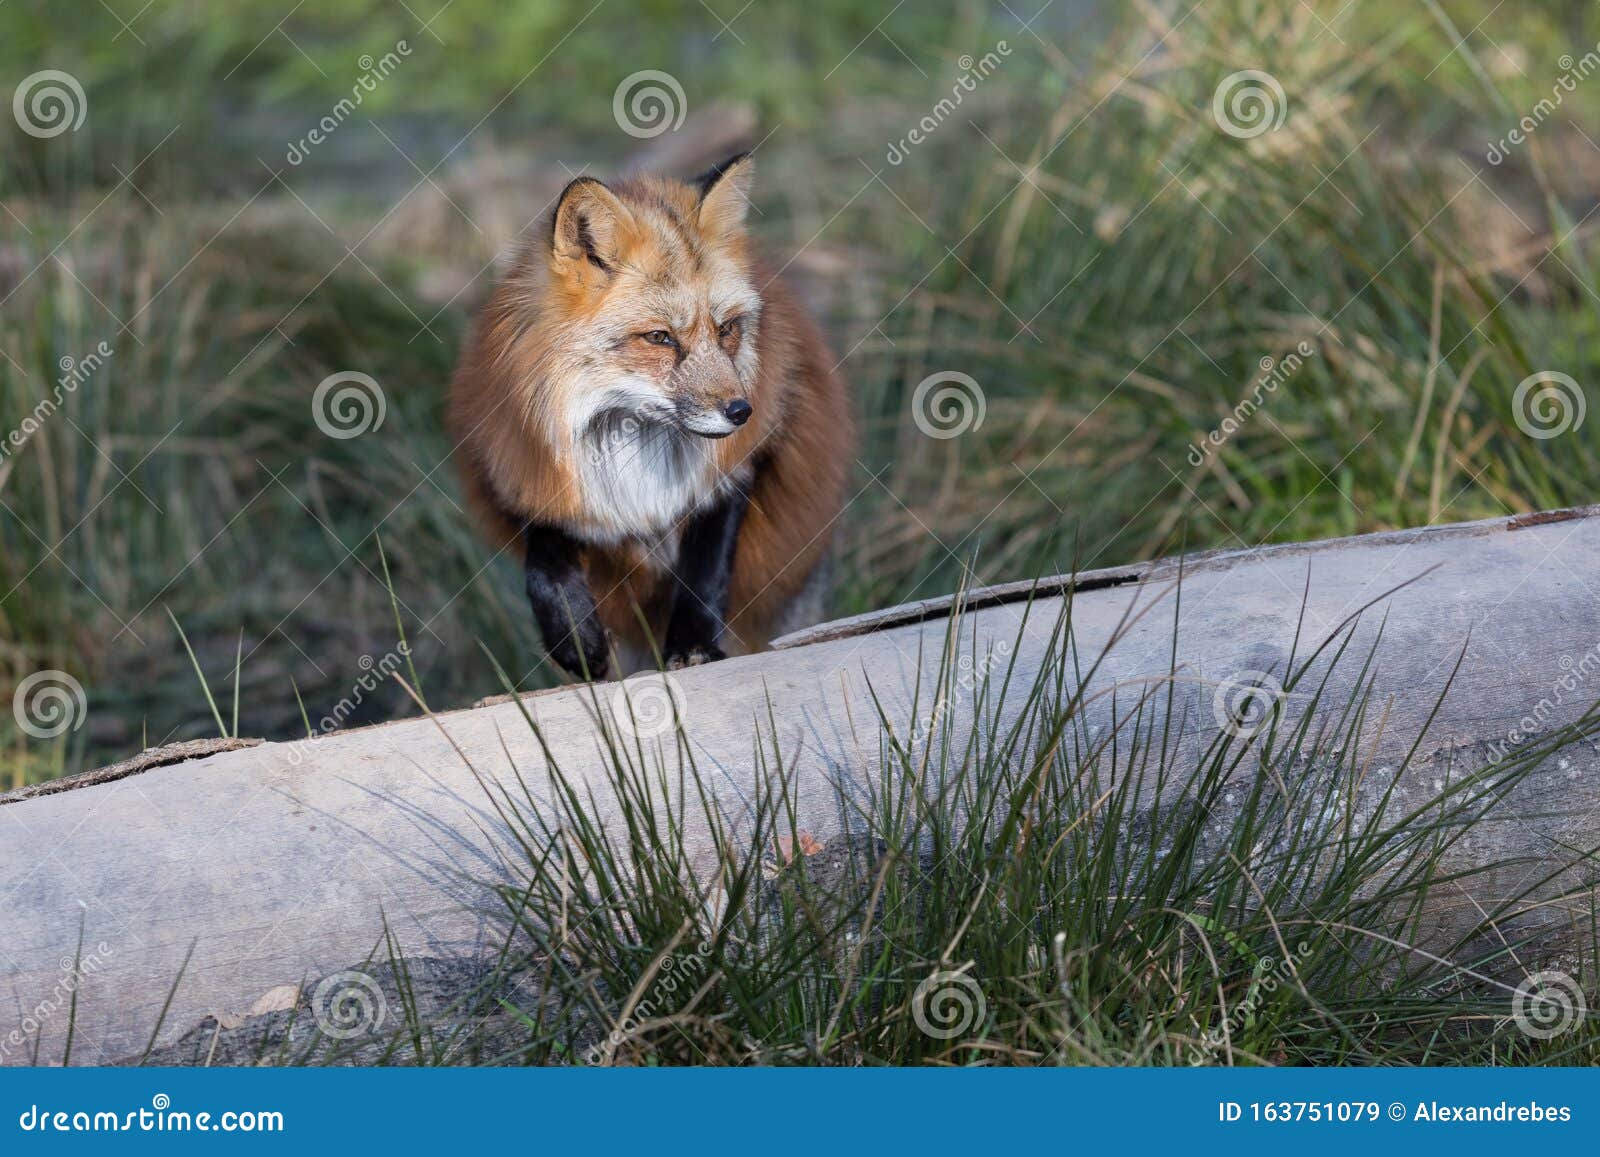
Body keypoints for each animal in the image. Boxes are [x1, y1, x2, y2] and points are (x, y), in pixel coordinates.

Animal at [449, 154, 854, 680]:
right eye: (659, 338)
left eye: (726, 329)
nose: (742, 411)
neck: (636, 461)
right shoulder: (519, 470)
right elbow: (545, 560)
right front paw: (574, 637)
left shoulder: (738, 470)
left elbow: (706, 568)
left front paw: (693, 644)